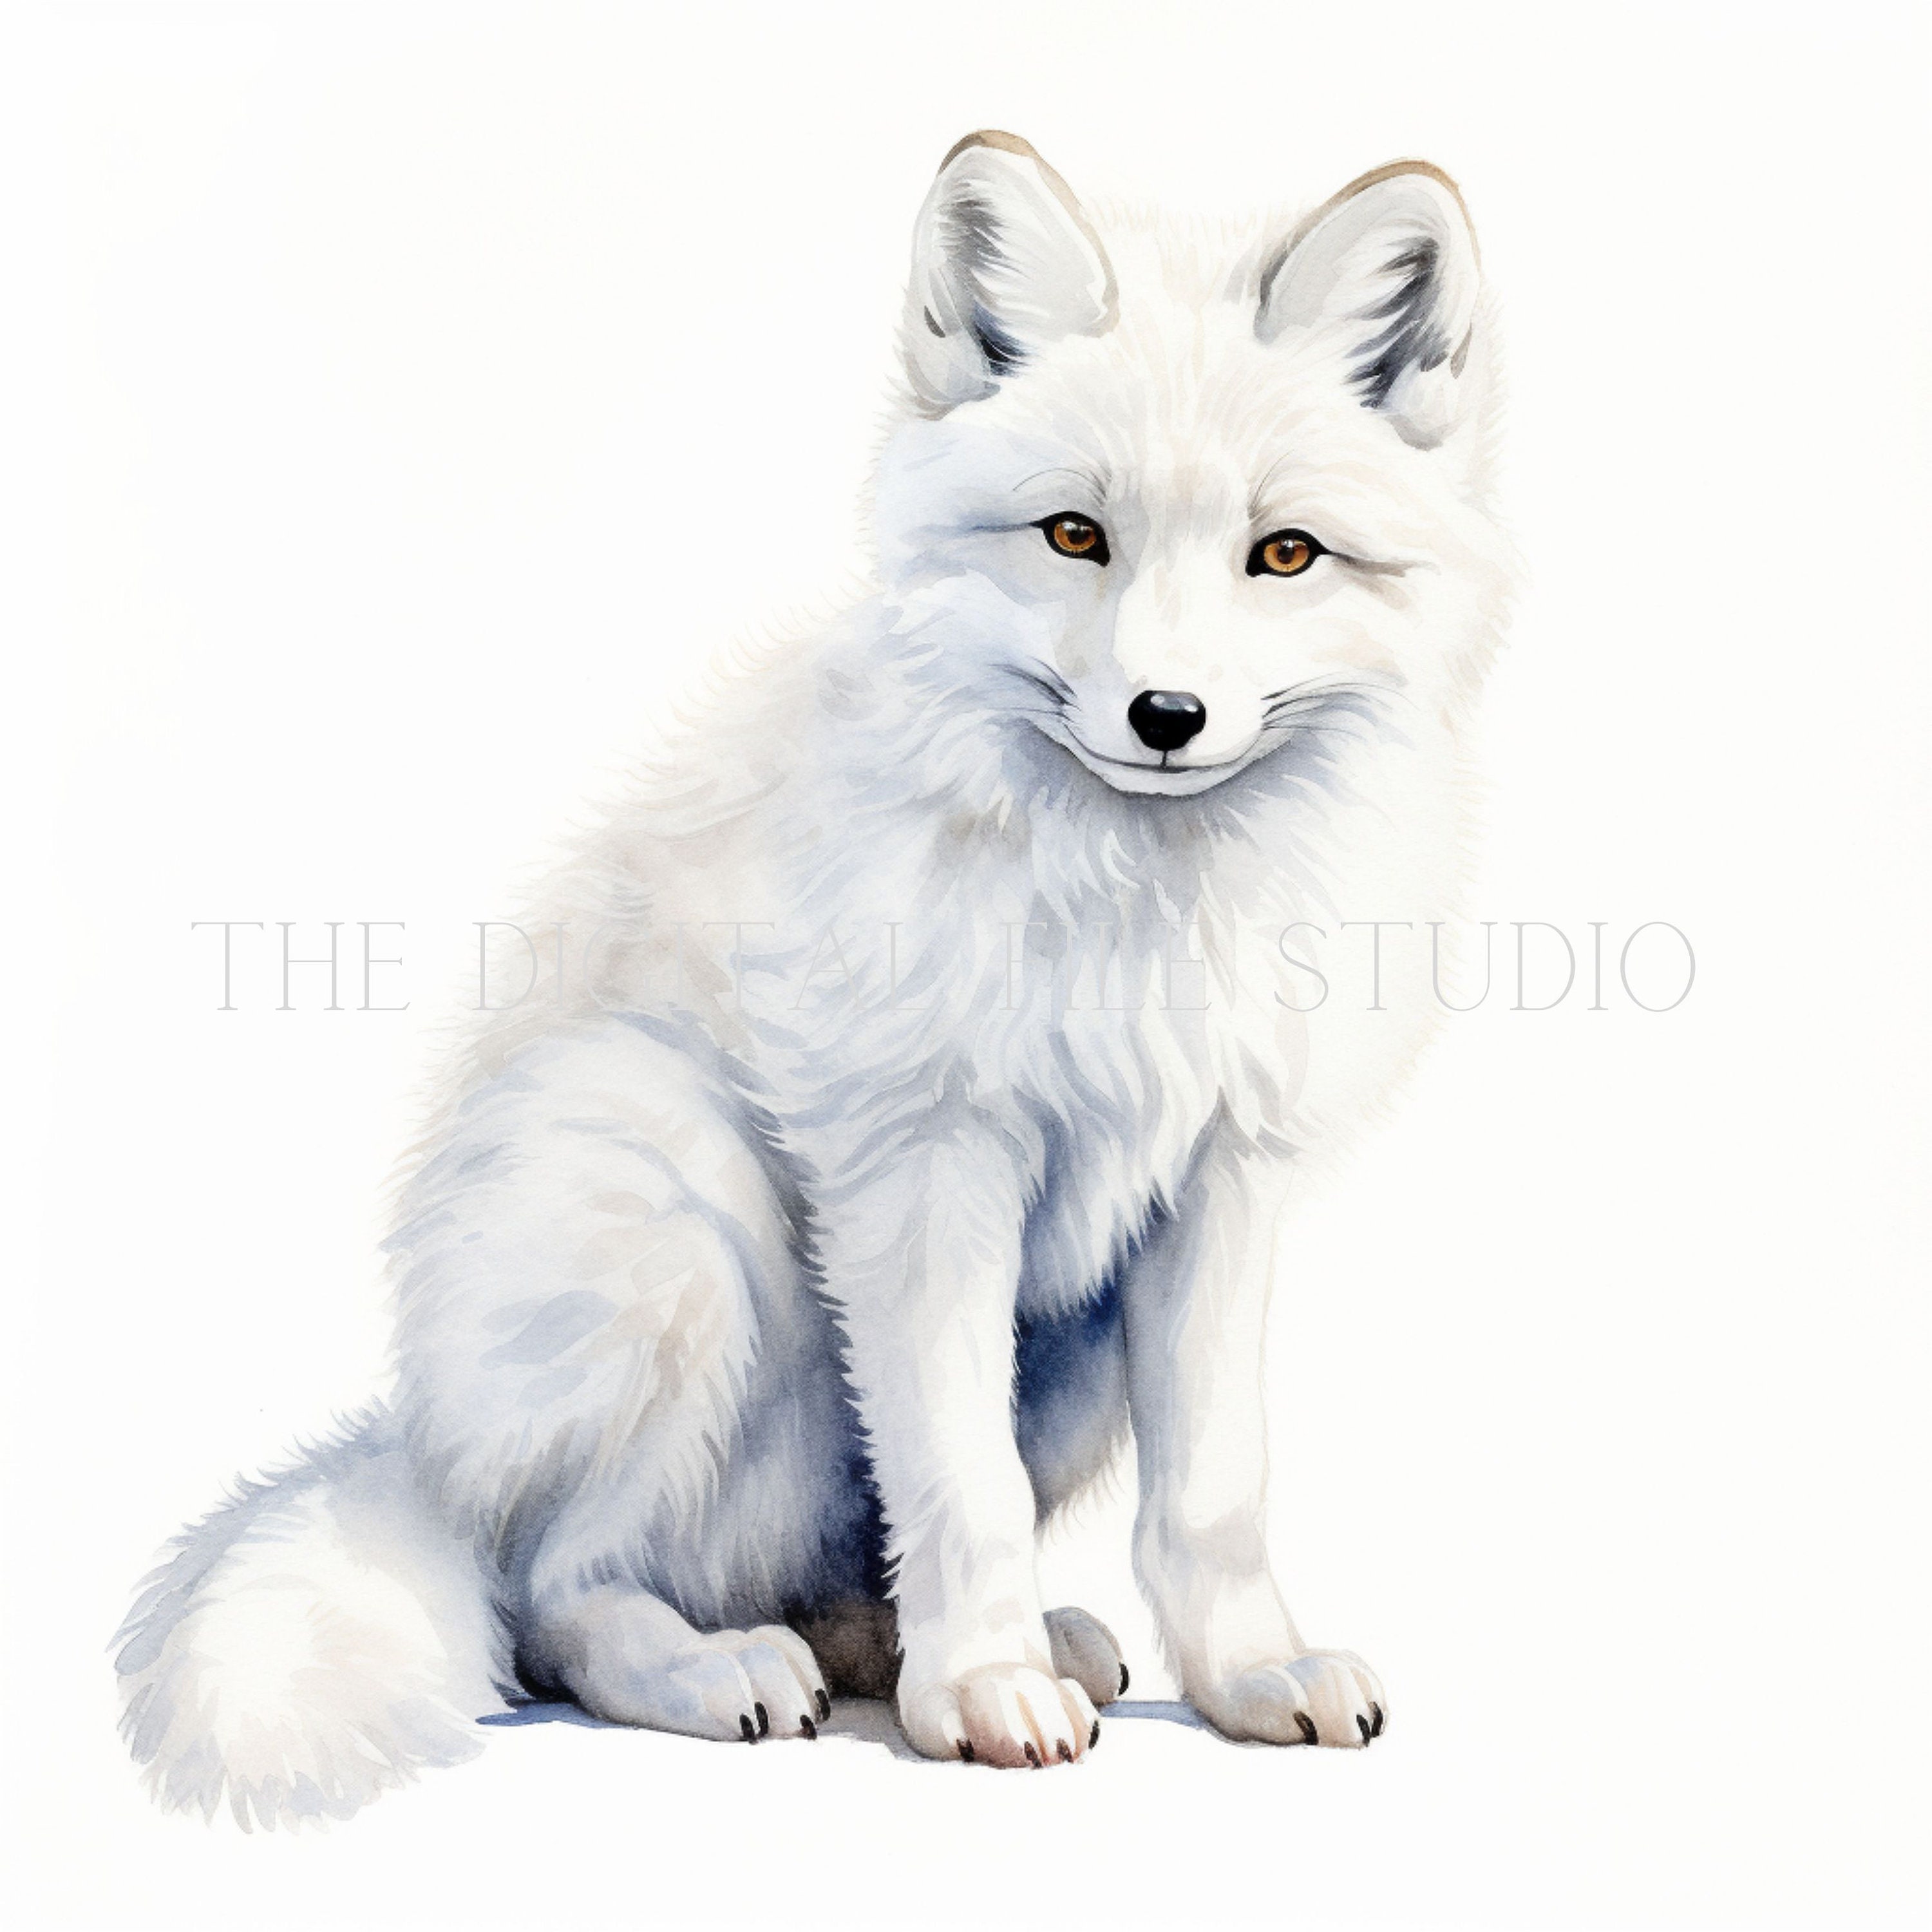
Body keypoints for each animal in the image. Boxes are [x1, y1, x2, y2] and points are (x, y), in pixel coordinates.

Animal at [117, 131, 1512, 1827]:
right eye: (1073, 535)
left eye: (1284, 554)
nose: (1166, 715)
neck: (1132, 904)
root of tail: (434, 1451)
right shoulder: (926, 1163)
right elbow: (960, 1482)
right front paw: (983, 1698)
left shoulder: (1220, 1179)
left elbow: (1213, 1490)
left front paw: (1243, 1676)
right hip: (692, 1236)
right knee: (555, 1594)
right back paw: (728, 1669)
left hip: (1066, 1364)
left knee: (827, 1565)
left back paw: (940, 1649)